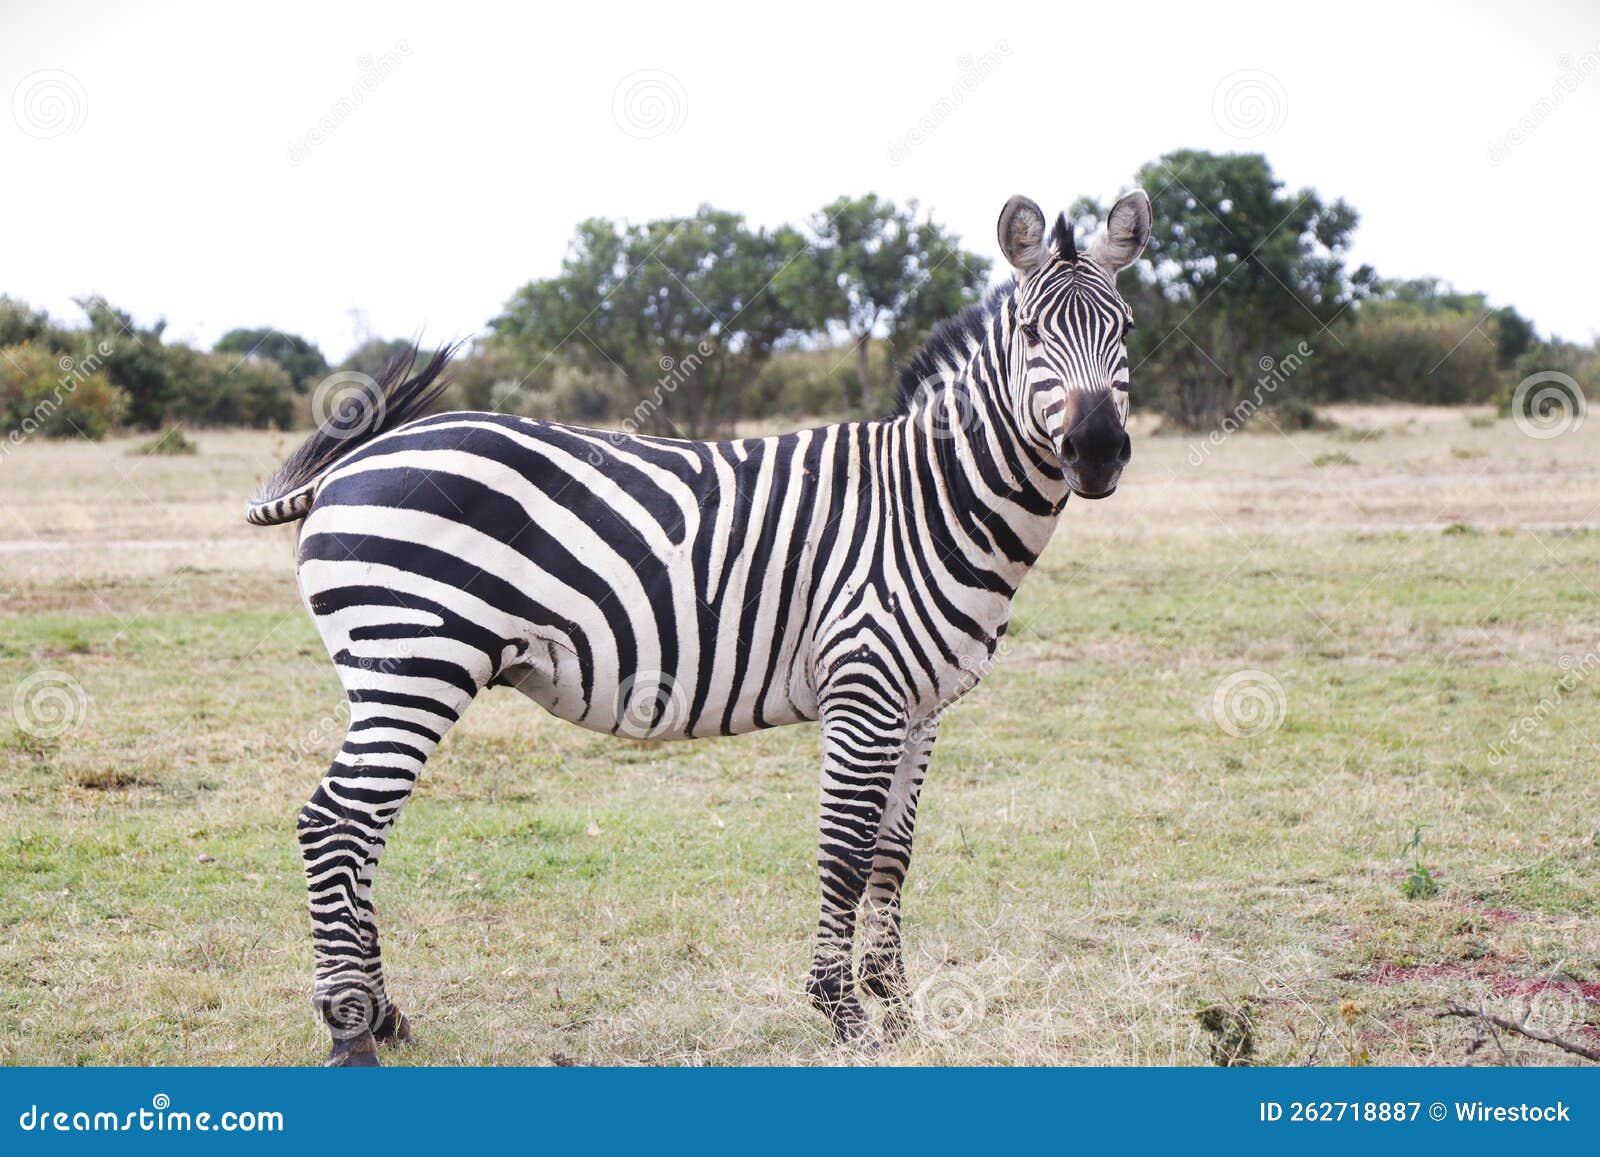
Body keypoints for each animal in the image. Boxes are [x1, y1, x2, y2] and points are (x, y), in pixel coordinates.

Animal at [247, 189, 1151, 1064]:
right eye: (1031, 333)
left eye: (1128, 330)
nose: (1098, 448)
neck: (929, 500)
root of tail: (351, 462)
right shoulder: (863, 688)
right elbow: (846, 848)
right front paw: (844, 1011)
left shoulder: (921, 704)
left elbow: (894, 853)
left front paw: (899, 1011)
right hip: (414, 666)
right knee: (334, 824)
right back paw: (351, 1034)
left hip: (396, 678)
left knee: (363, 830)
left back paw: (387, 1016)